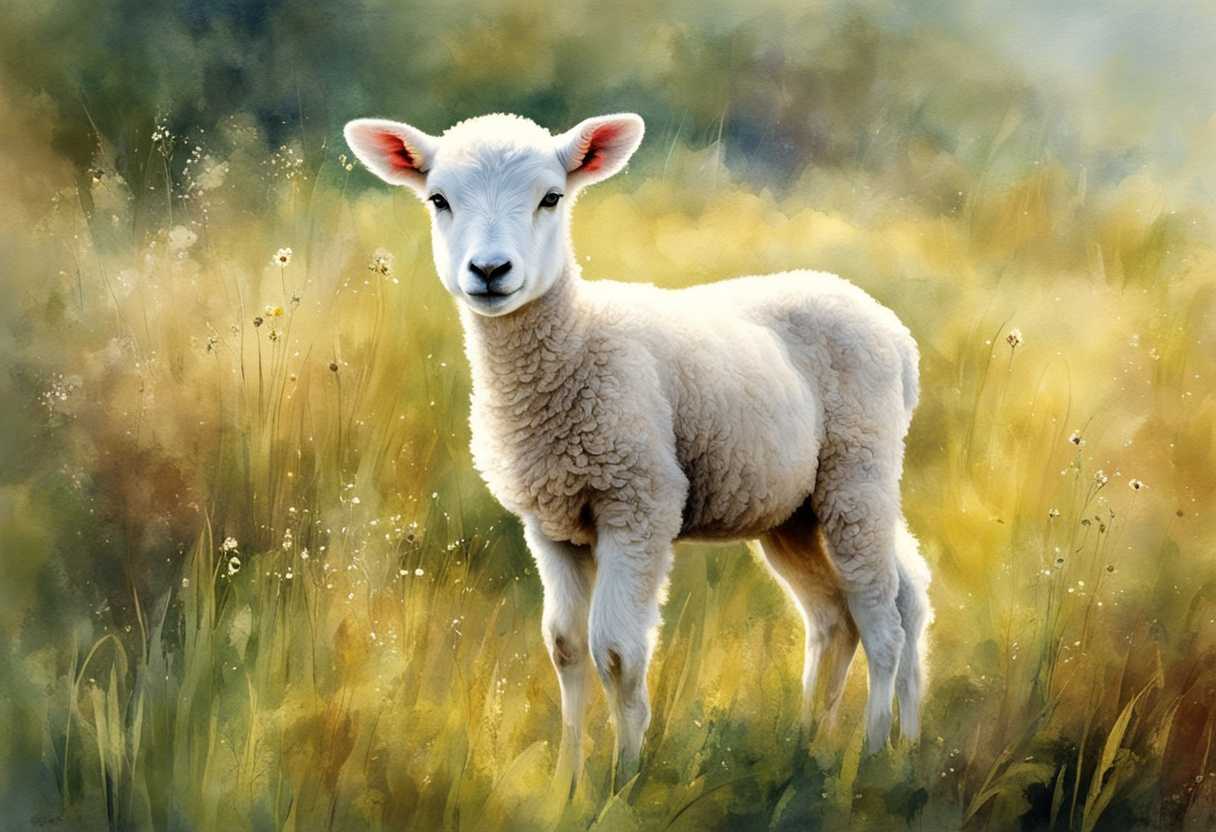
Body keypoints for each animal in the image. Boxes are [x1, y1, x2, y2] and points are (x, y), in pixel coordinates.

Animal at [344, 111, 933, 792]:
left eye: (552, 198)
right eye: (439, 200)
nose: (490, 271)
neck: (573, 347)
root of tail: (897, 335)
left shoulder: (638, 500)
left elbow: (618, 653)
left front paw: (626, 779)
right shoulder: (550, 522)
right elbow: (565, 647)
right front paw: (568, 779)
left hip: (856, 470)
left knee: (881, 617)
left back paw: (871, 754)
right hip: (794, 508)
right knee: (849, 613)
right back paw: (825, 744)